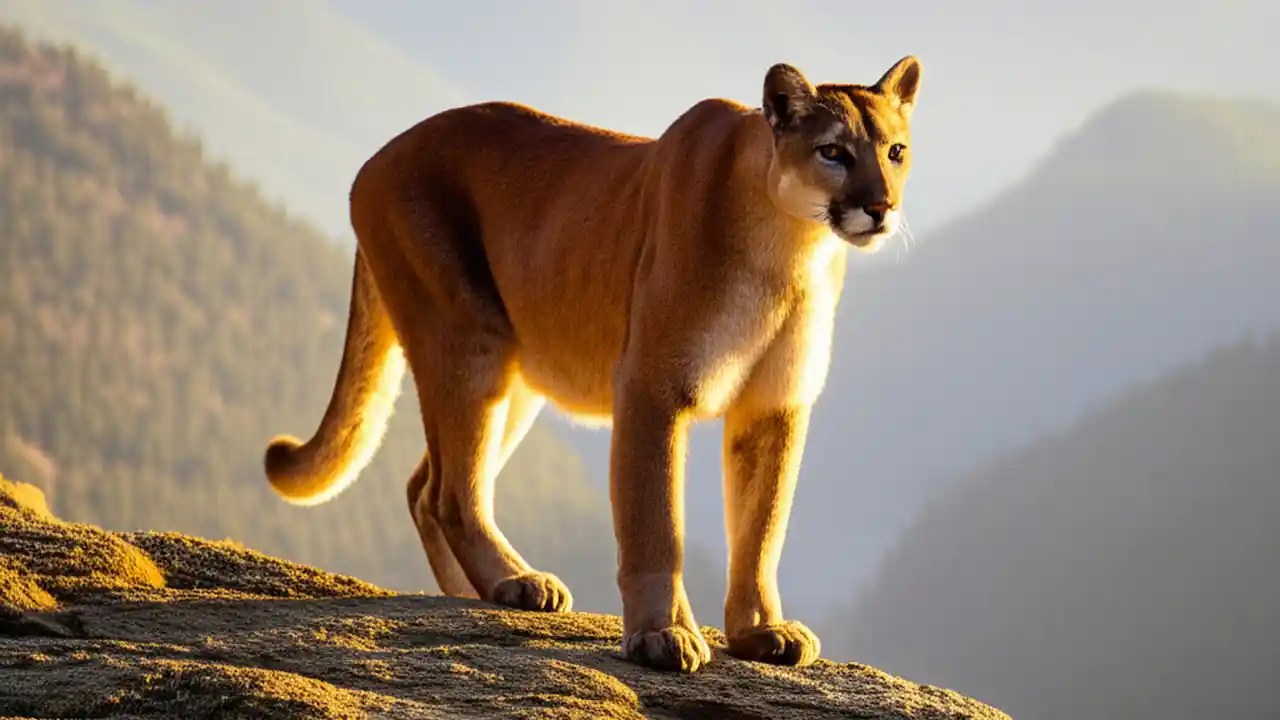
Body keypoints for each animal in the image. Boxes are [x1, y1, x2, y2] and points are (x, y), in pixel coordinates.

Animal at [264, 56, 921, 672]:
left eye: (896, 151)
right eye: (832, 151)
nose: (880, 207)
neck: (789, 245)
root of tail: (376, 158)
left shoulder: (775, 404)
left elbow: (763, 526)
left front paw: (761, 631)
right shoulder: (653, 384)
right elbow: (656, 521)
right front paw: (662, 635)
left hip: (517, 378)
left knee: (425, 487)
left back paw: (475, 595)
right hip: (467, 336)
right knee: (451, 492)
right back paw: (514, 582)